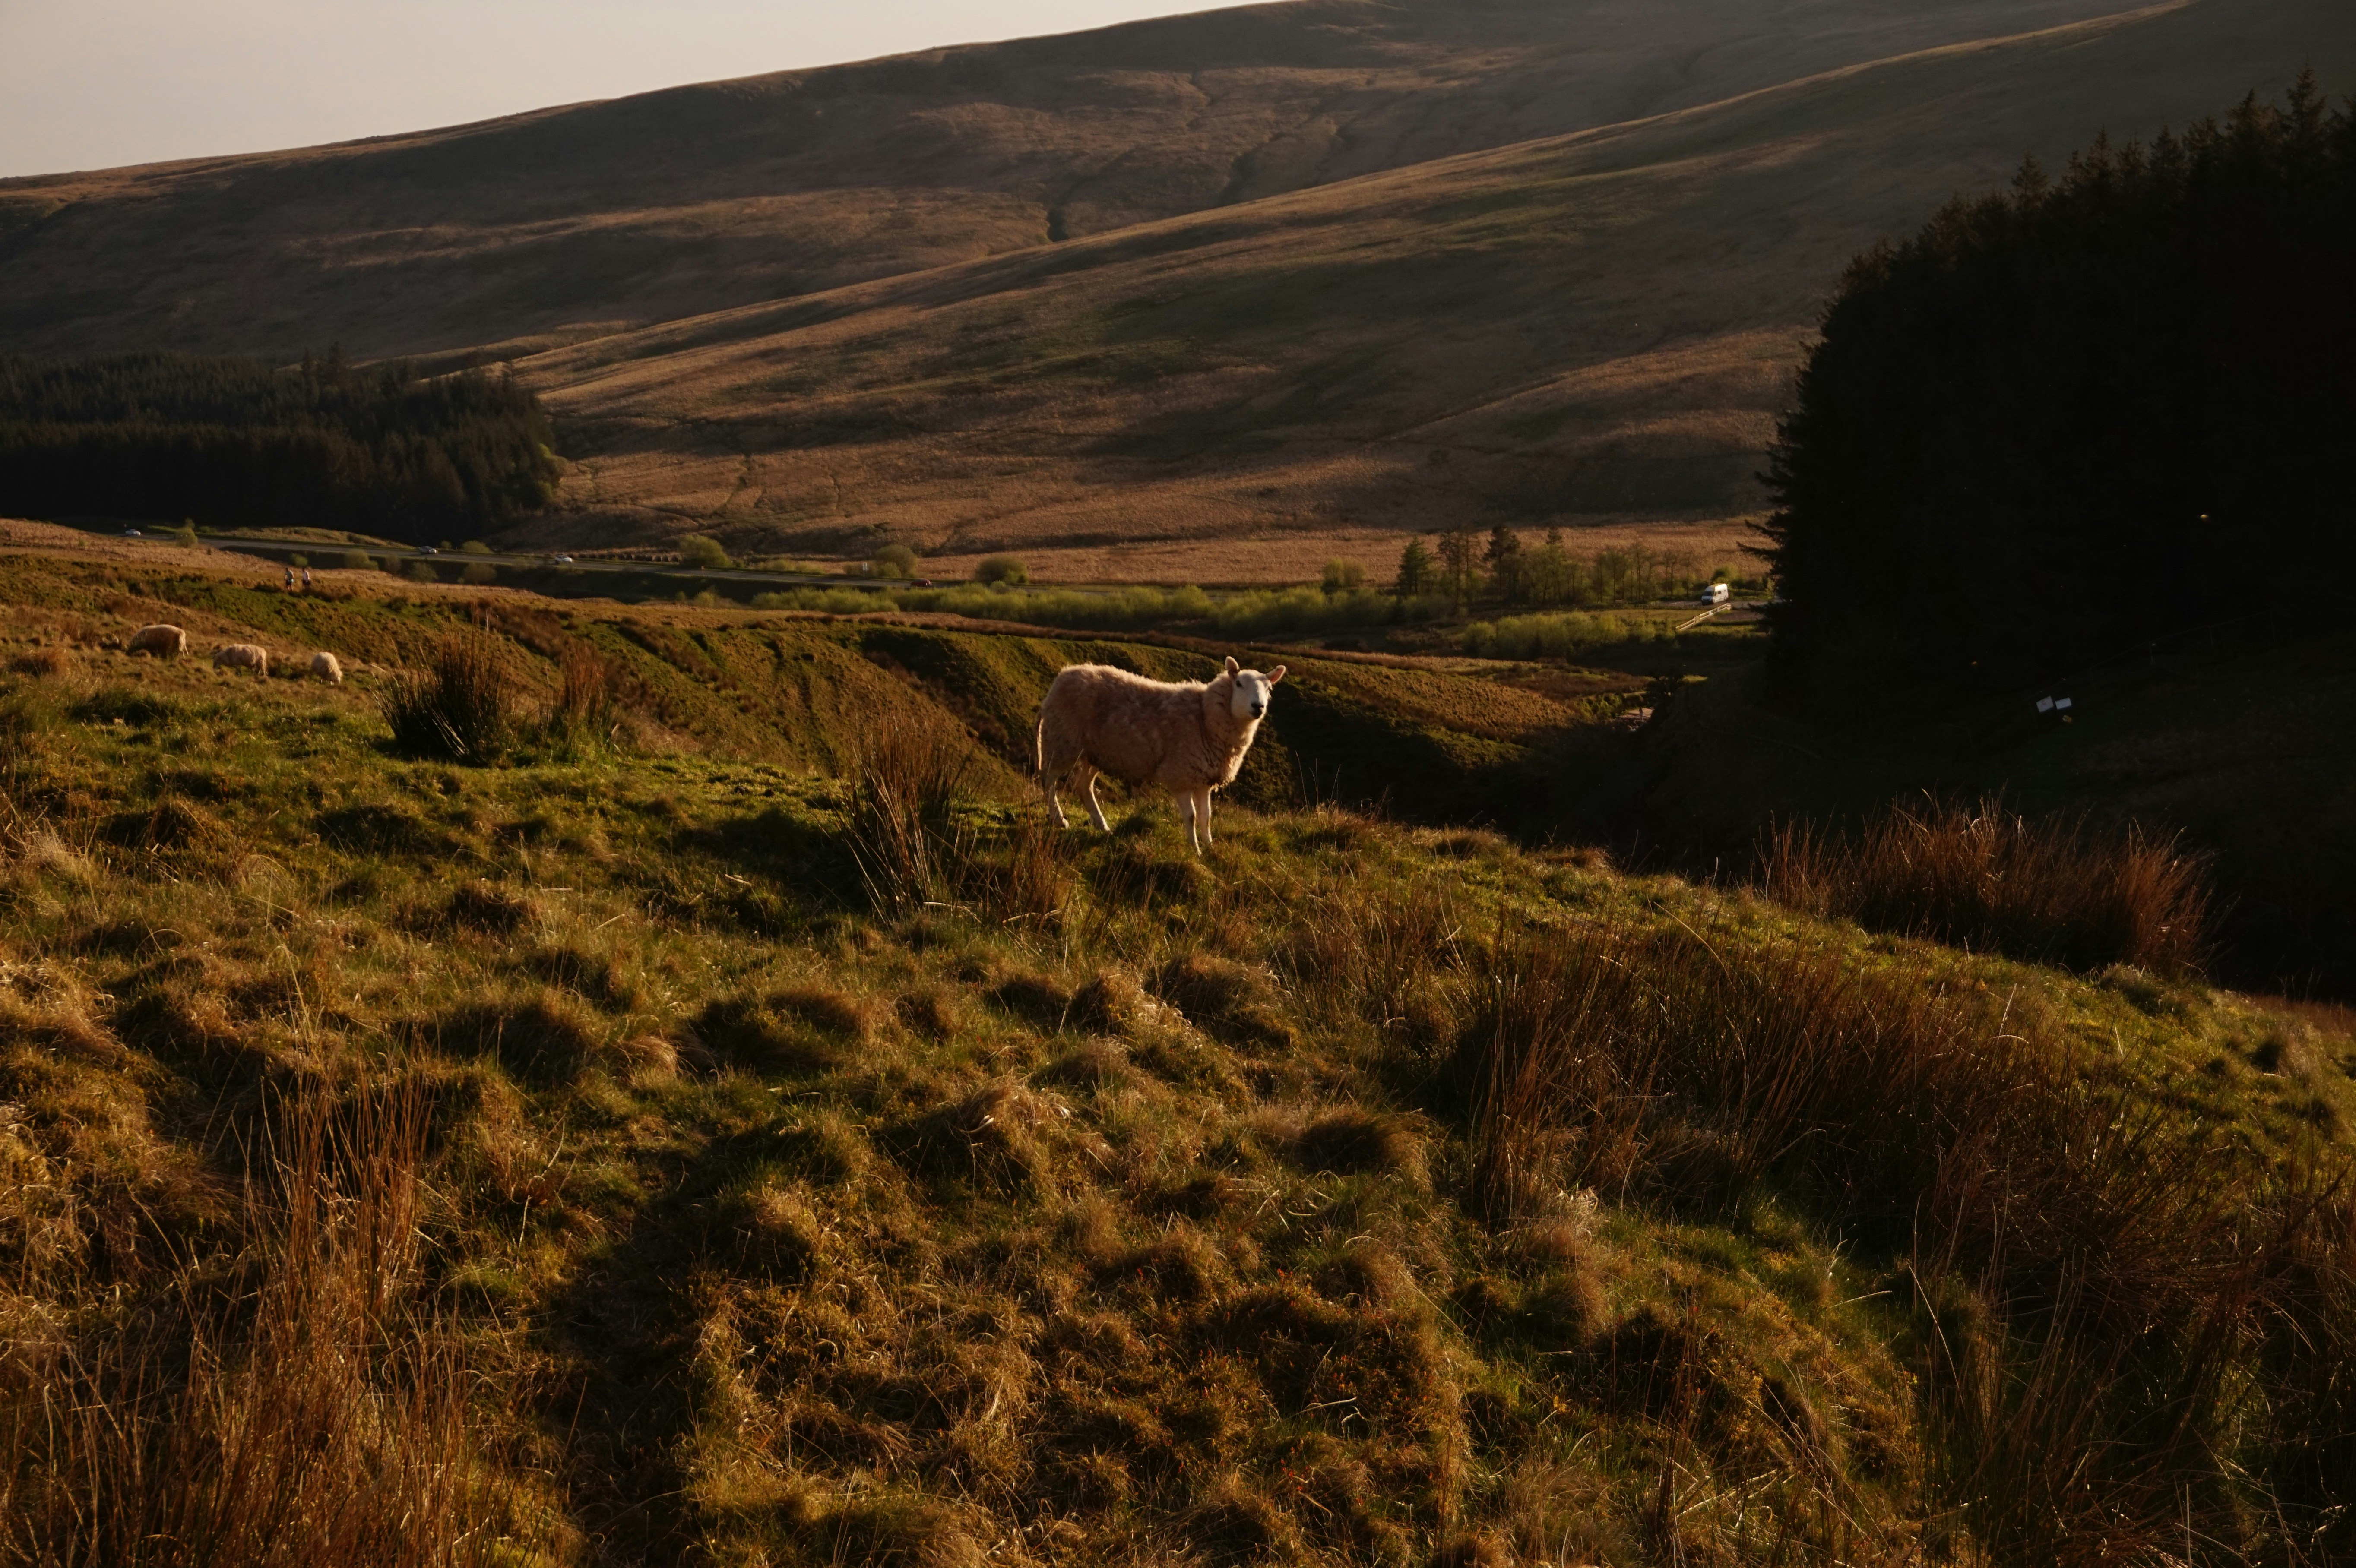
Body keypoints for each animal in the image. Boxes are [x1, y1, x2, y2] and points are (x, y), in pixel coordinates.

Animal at [212, 643, 269, 678]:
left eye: (216, 661)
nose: (214, 668)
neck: (228, 655)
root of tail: (263, 650)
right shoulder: (237, 664)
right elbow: (238, 669)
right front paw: (238, 674)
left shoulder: (238, 663)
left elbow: (239, 669)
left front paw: (240, 675)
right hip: (258, 663)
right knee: (259, 669)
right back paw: (257, 676)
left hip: (261, 662)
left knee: (263, 670)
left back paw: (263, 677)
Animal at [1037, 655, 1287, 854]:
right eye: (1239, 684)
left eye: (1269, 689)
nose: (1258, 707)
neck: (1205, 717)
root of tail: (1064, 675)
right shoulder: (1181, 773)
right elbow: (1192, 817)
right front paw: (1195, 850)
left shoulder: (1204, 777)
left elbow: (1206, 817)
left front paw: (1209, 848)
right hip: (1063, 740)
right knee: (1049, 780)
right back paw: (1059, 819)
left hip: (1094, 752)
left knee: (1083, 786)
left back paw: (1103, 826)